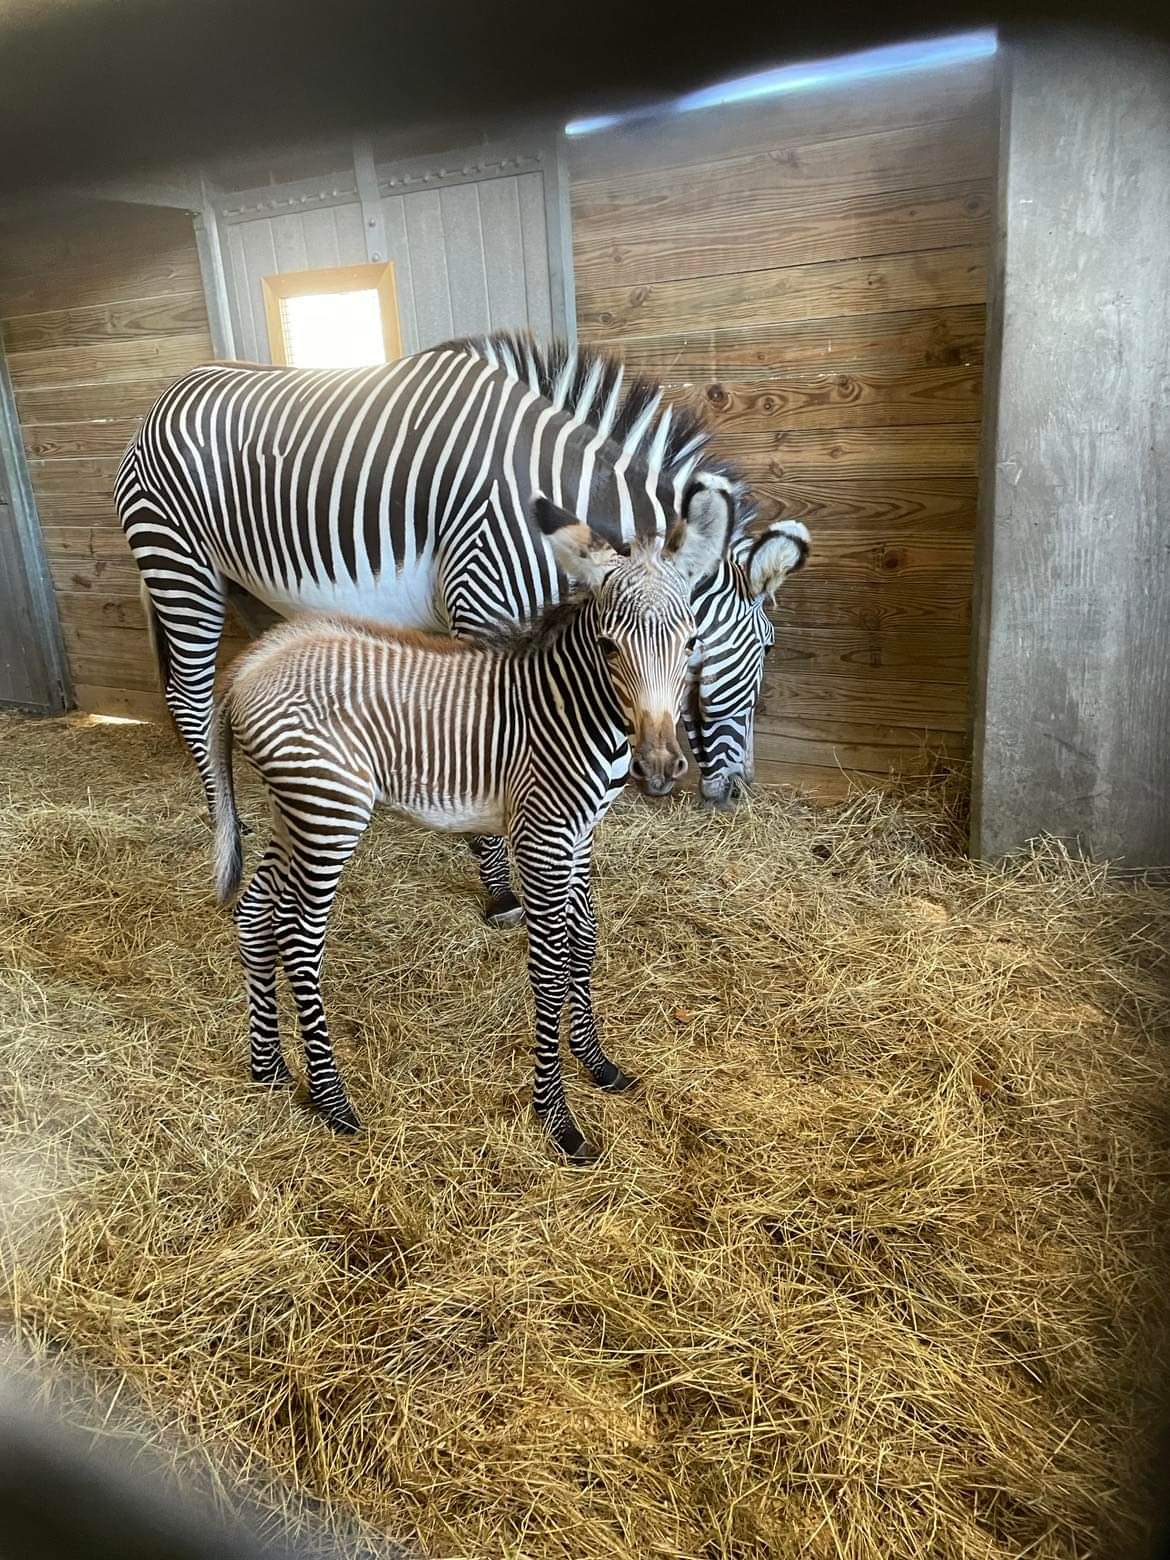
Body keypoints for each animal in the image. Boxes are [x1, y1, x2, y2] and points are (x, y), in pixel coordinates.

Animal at [115, 330, 810, 922]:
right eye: (760, 647)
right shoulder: (478, 598)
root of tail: (171, 392)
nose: (737, 793)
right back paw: (225, 826)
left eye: (691, 642)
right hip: (179, 565)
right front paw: (500, 888)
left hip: (249, 587)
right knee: (189, 700)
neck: (546, 503)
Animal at [209, 492, 727, 1163]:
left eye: (691, 644)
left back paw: (268, 1068)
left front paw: (598, 1065)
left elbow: (584, 942)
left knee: (254, 916)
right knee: (298, 936)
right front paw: (557, 1119)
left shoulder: (581, 831)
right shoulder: (541, 831)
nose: (661, 769)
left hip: (292, 808)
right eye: (611, 647)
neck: (572, 706)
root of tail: (250, 665)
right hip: (330, 812)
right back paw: (333, 1103)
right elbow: (550, 966)